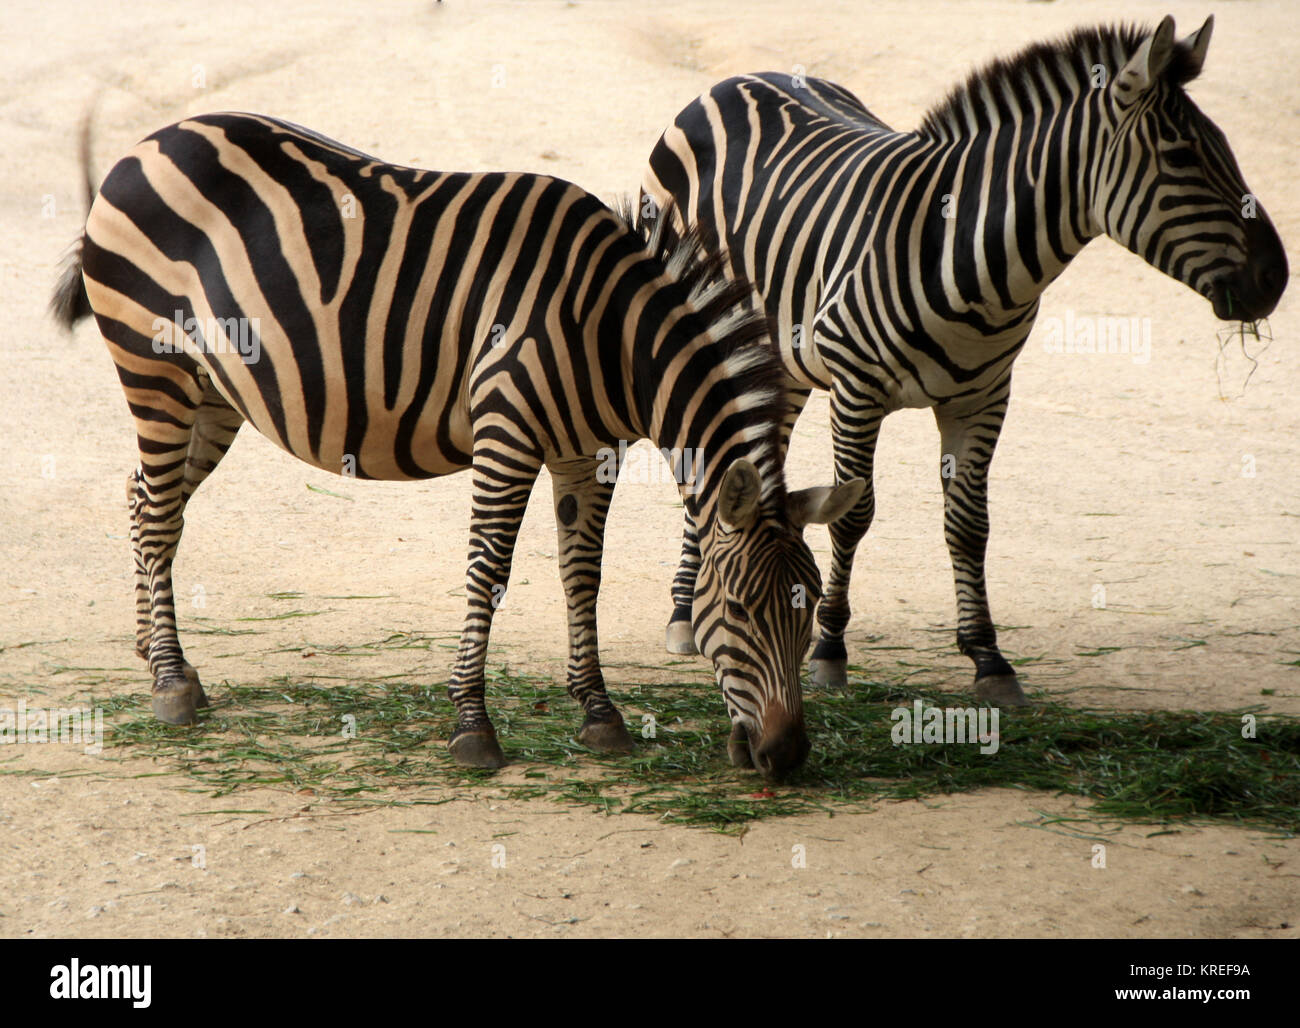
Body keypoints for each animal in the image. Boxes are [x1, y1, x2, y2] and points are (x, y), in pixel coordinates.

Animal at [50, 112, 864, 779]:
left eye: (805, 613)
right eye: (739, 609)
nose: (787, 757)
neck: (611, 334)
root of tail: (145, 143)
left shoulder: (590, 451)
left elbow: (582, 574)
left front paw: (599, 713)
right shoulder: (506, 433)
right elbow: (489, 571)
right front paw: (472, 725)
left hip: (214, 392)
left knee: (144, 503)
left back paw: (153, 655)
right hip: (156, 370)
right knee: (159, 516)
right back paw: (170, 685)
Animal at [640, 16, 1287, 704]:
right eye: (1181, 157)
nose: (1276, 278)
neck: (967, 257)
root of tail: (739, 79)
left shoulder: (983, 396)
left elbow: (969, 524)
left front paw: (987, 657)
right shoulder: (857, 389)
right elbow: (853, 516)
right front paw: (830, 646)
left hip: (784, 357)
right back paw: (682, 612)